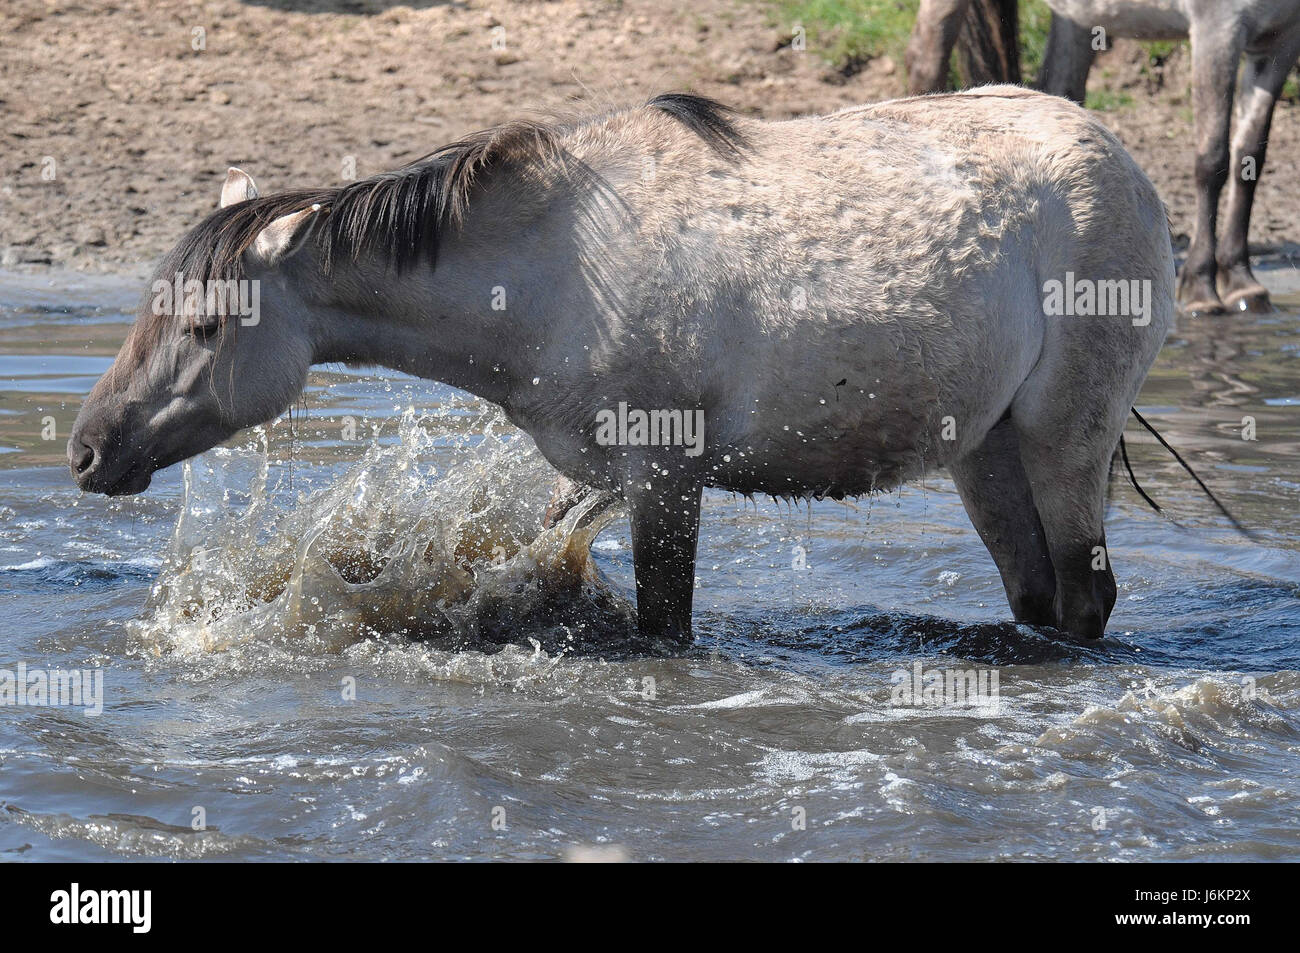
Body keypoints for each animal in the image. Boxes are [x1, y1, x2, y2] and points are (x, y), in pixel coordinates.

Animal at [68, 89, 1174, 642]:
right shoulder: (592, 472)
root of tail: (1127, 164)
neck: (557, 264)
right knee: (1034, 595)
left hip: (1064, 439)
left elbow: (663, 623)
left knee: (1084, 598)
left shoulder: (667, 477)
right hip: (985, 449)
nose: (87, 448)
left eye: (209, 325)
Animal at [906, 0, 1300, 315]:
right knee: (927, 55)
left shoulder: (1281, 43)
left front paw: (1241, 280)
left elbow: (1250, 156)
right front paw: (1202, 287)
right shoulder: (1217, 28)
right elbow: (1212, 158)